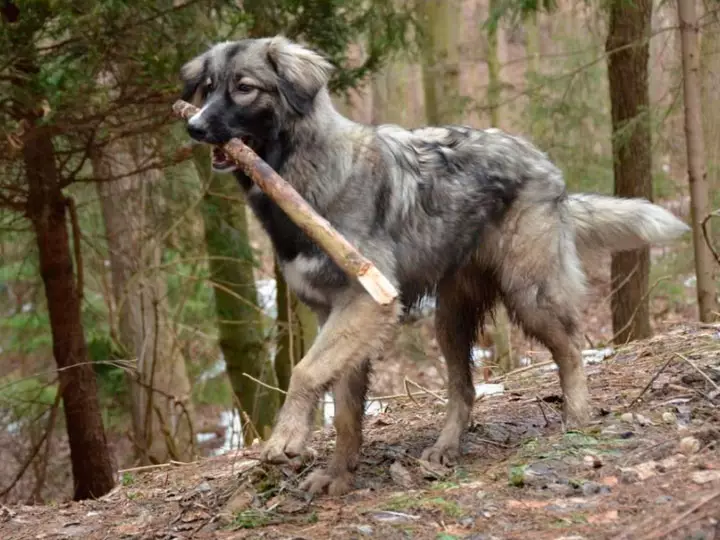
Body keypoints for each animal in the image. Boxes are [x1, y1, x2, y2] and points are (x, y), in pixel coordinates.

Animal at [177, 35, 688, 496]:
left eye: (245, 88)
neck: (308, 170)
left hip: (530, 294)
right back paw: (445, 449)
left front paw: (286, 438)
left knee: (572, 350)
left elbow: (305, 371)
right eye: (208, 87)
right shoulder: (336, 314)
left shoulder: (366, 302)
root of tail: (543, 161)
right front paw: (339, 475)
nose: (194, 128)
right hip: (450, 317)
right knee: (464, 389)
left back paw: (577, 416)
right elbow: (344, 411)